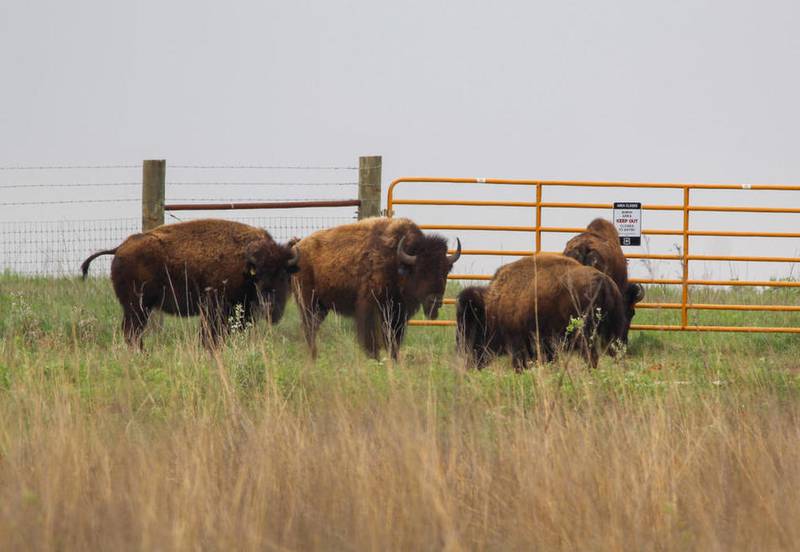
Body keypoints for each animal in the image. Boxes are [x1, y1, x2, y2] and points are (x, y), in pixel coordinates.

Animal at [81, 218, 299, 348]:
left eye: (283, 275)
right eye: (258, 276)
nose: (270, 307)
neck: (245, 267)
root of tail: (119, 248)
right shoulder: (214, 310)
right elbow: (209, 336)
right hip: (137, 307)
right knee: (132, 333)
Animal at [291, 217, 461, 360]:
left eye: (446, 271)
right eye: (421, 270)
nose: (435, 300)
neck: (396, 261)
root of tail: (298, 247)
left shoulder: (397, 313)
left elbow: (393, 338)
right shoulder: (371, 307)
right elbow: (372, 336)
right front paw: (375, 358)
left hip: (322, 307)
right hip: (308, 302)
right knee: (309, 328)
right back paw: (313, 355)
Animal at [456, 253, 627, 371]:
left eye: (471, 322)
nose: (462, 351)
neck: (494, 304)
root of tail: (603, 281)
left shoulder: (517, 345)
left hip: (585, 335)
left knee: (592, 357)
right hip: (614, 332)